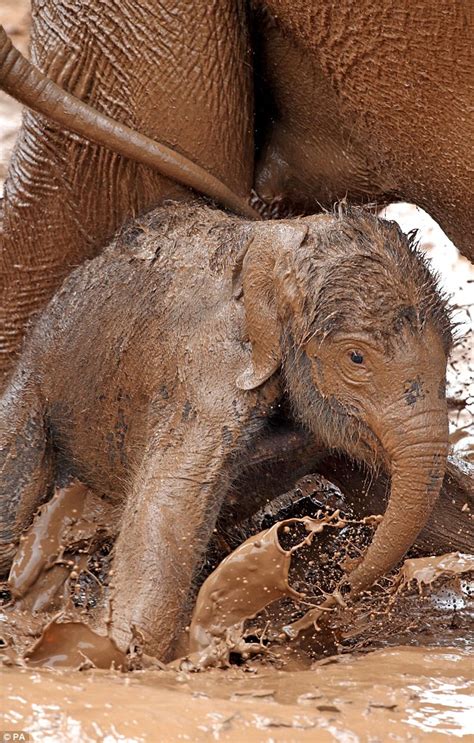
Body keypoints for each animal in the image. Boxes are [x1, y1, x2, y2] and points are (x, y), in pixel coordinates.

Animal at [0, 202, 452, 659]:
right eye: (356, 358)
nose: (341, 575)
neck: (280, 246)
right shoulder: (210, 368)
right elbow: (171, 501)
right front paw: (112, 650)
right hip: (33, 384)